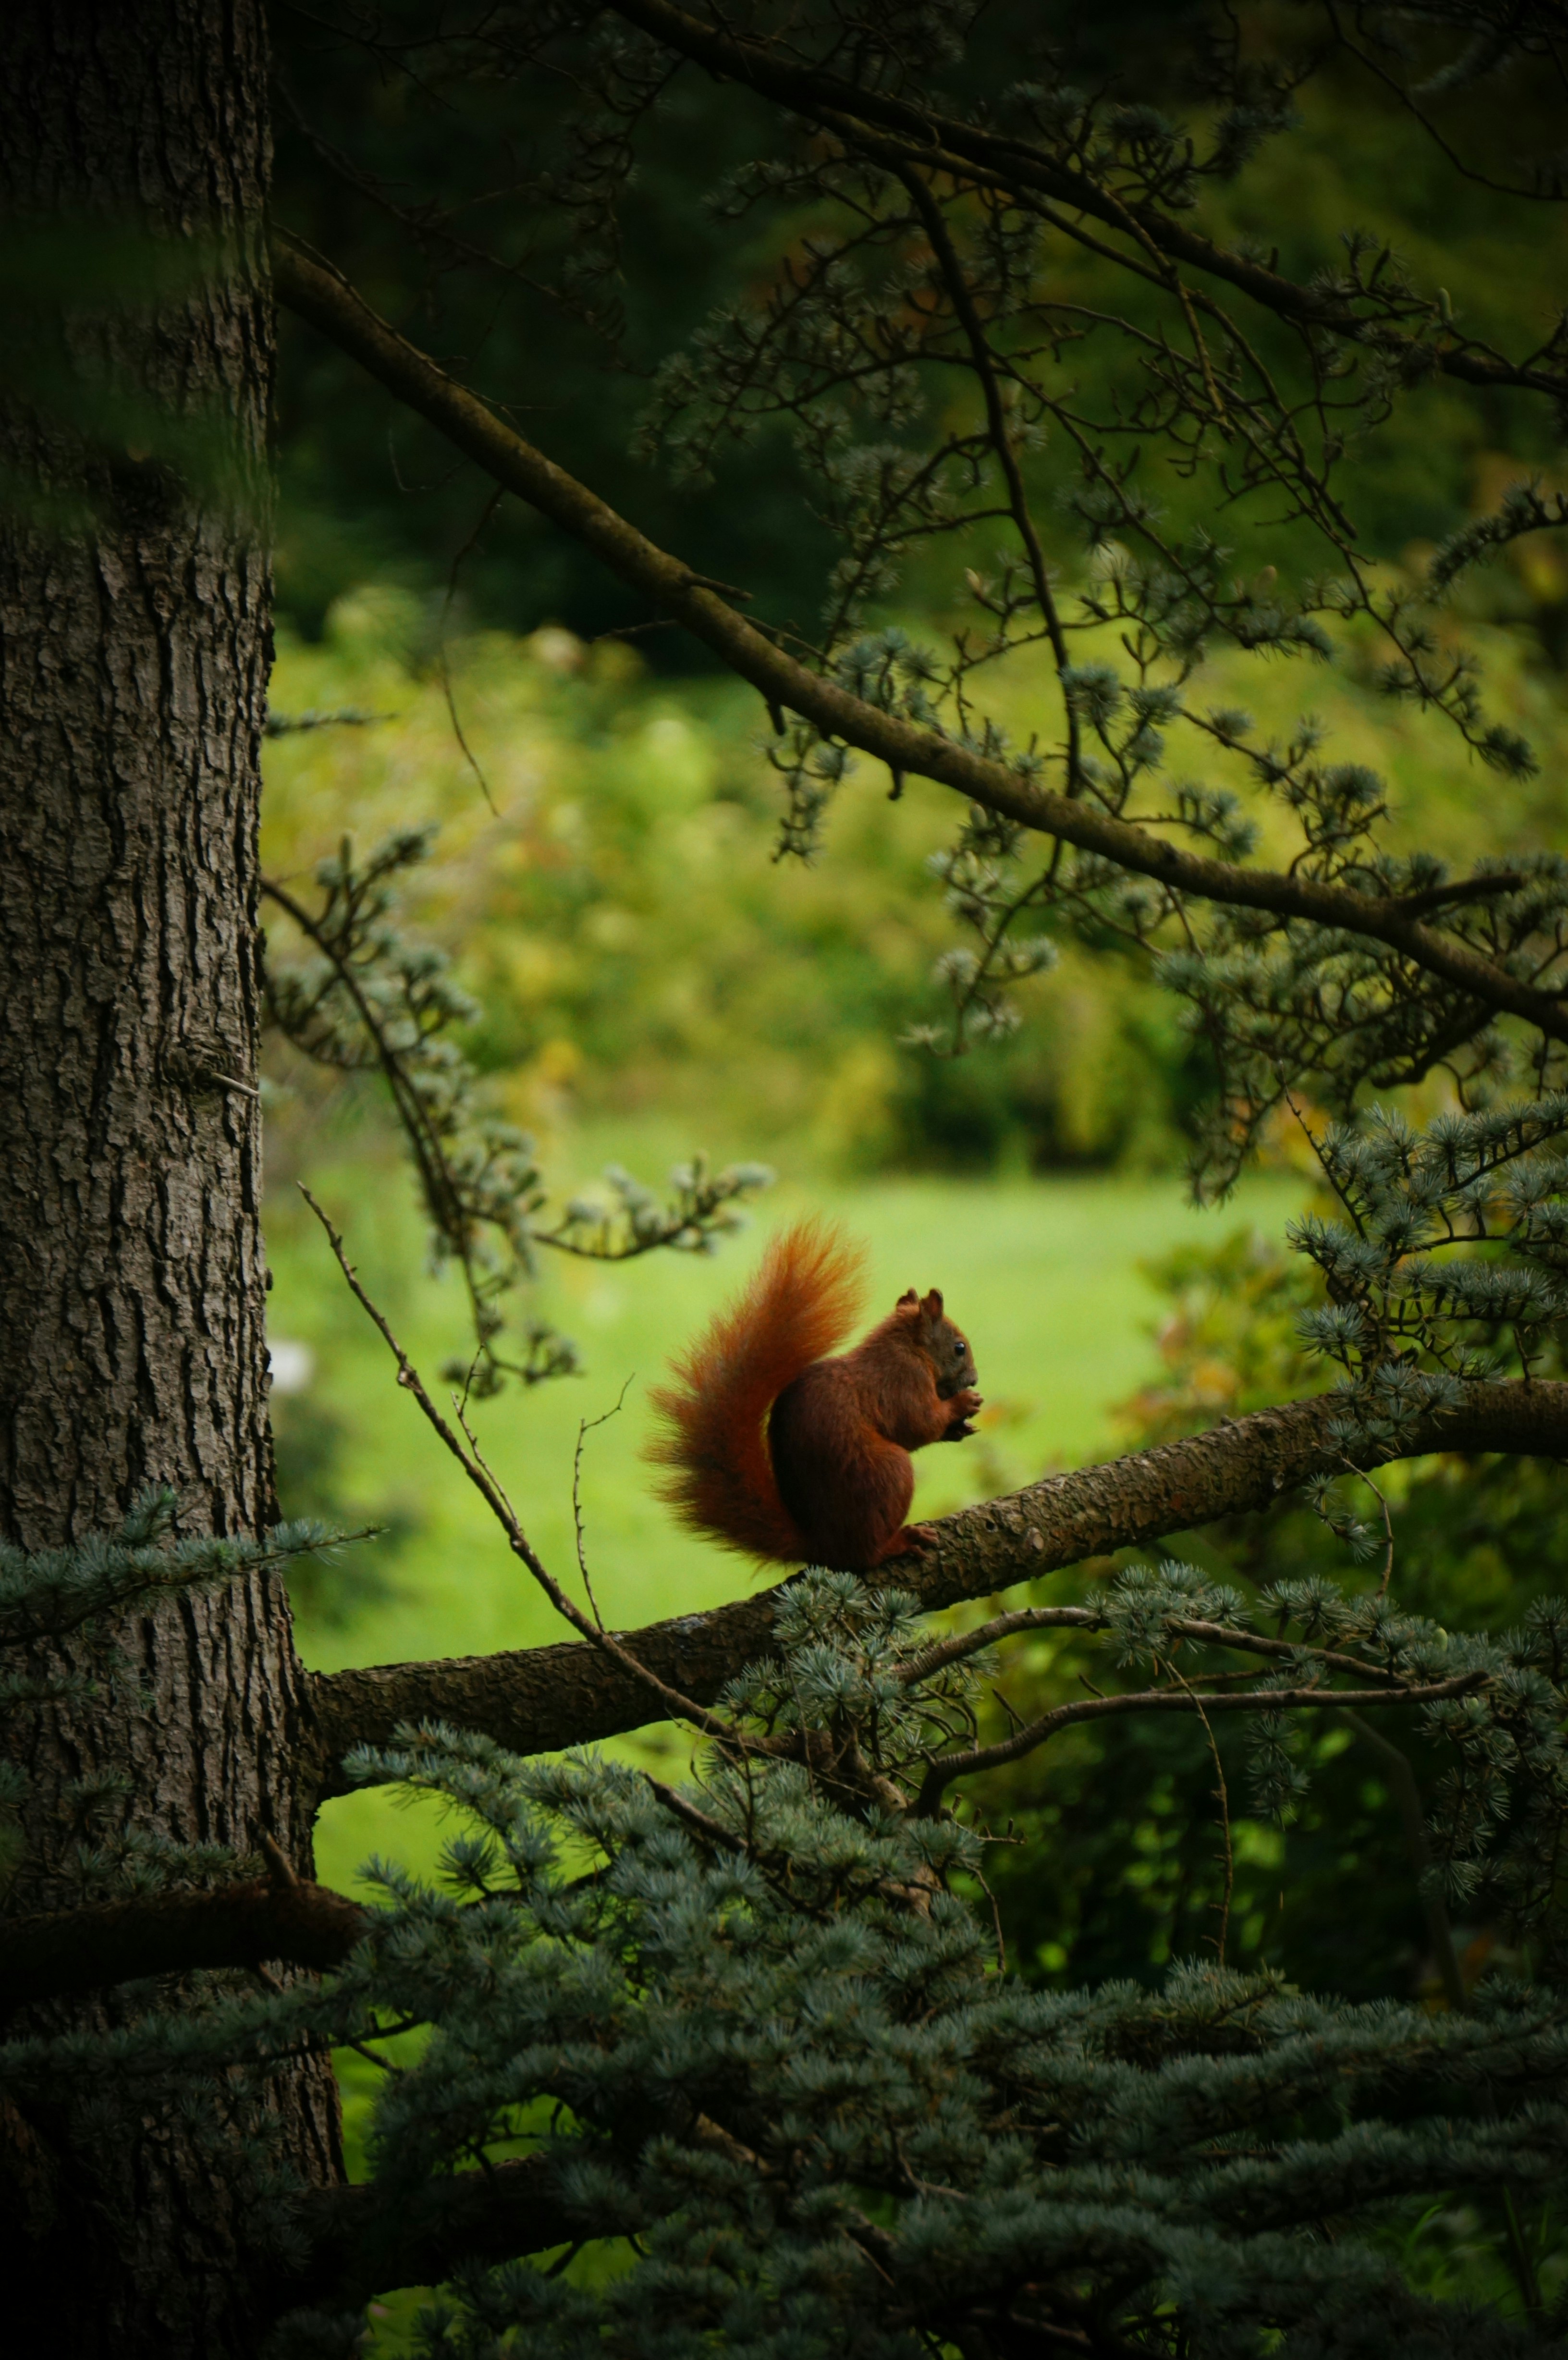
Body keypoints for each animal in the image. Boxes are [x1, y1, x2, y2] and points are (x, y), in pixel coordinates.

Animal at [646, 1217, 982, 1572]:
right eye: (960, 1348)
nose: (975, 1380)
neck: (910, 1348)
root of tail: (821, 1547)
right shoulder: (904, 1380)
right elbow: (919, 1423)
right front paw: (963, 1404)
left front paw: (961, 1428)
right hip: (886, 1474)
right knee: (865, 1555)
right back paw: (899, 1542)